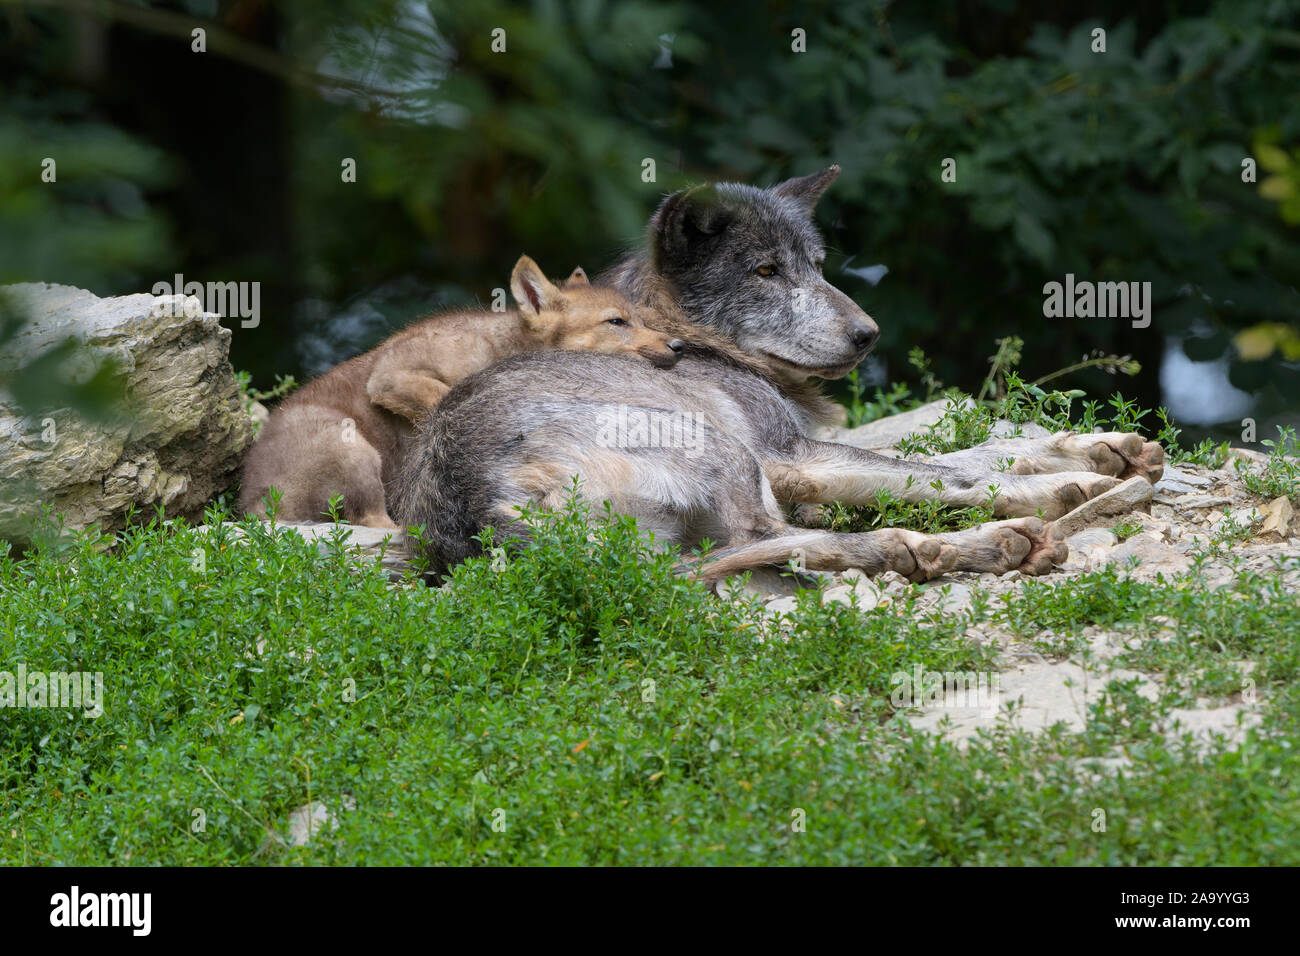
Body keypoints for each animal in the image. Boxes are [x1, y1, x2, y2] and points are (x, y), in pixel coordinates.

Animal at [240, 255, 684, 527]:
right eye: (616, 322)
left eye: (639, 318)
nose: (678, 346)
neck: (501, 348)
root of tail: (251, 504)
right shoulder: (391, 377)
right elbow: (444, 403)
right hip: (354, 450)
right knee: (375, 521)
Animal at [393, 167, 1164, 581]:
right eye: (766, 272)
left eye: (817, 266)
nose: (868, 334)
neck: (698, 342)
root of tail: (474, 505)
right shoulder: (791, 456)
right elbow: (954, 475)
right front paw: (1064, 483)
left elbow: (968, 451)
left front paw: (1094, 449)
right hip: (720, 449)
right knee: (765, 540)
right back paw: (963, 544)